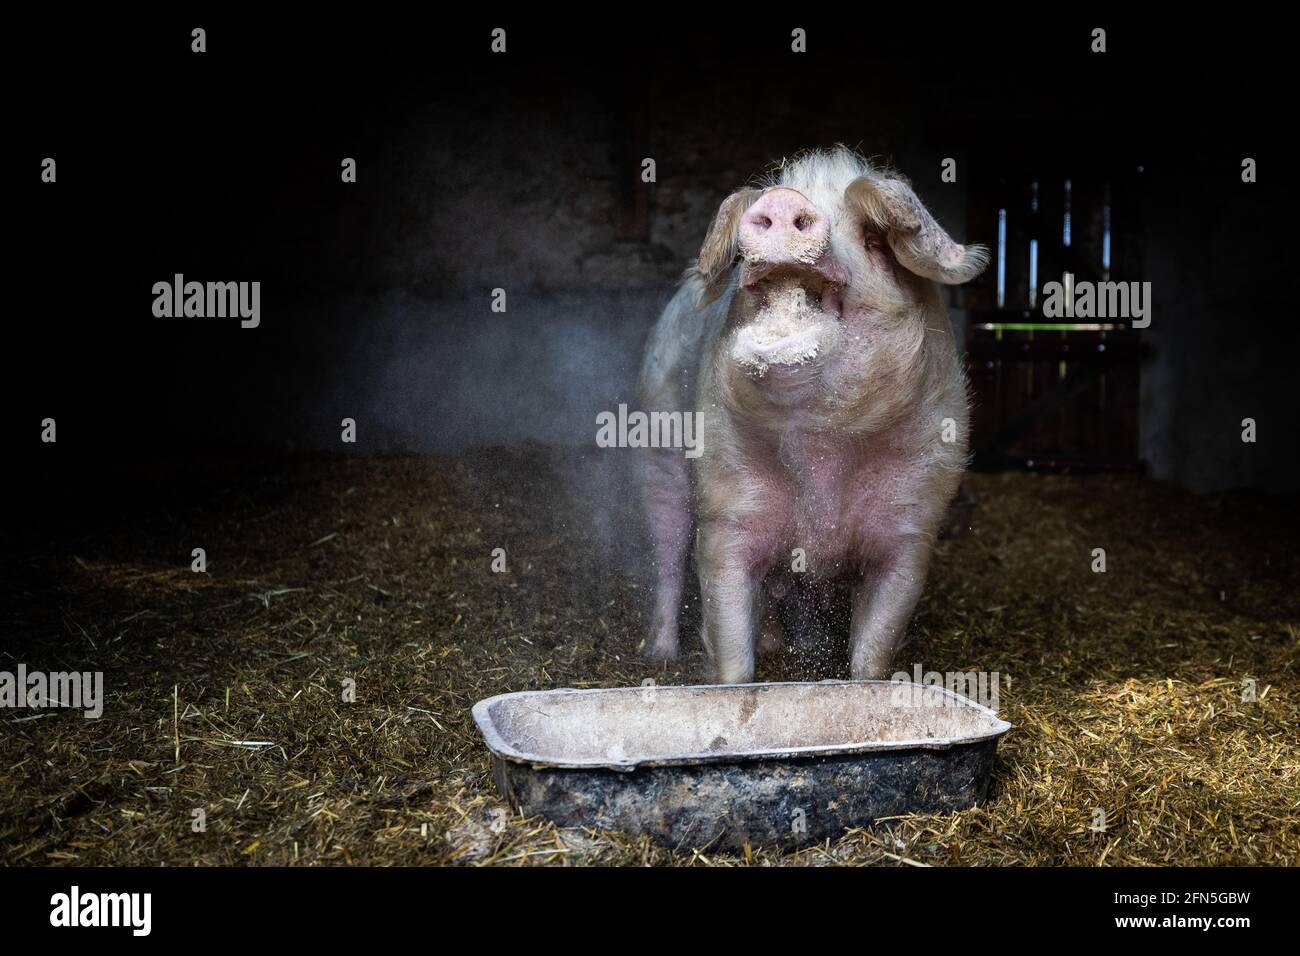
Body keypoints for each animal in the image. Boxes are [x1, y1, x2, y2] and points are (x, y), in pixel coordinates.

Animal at [637, 147, 987, 683]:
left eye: (872, 240)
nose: (783, 199)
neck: (823, 448)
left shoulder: (912, 530)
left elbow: (874, 648)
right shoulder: (726, 514)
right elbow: (731, 645)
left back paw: (781, 645)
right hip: (657, 456)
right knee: (668, 557)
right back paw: (658, 656)